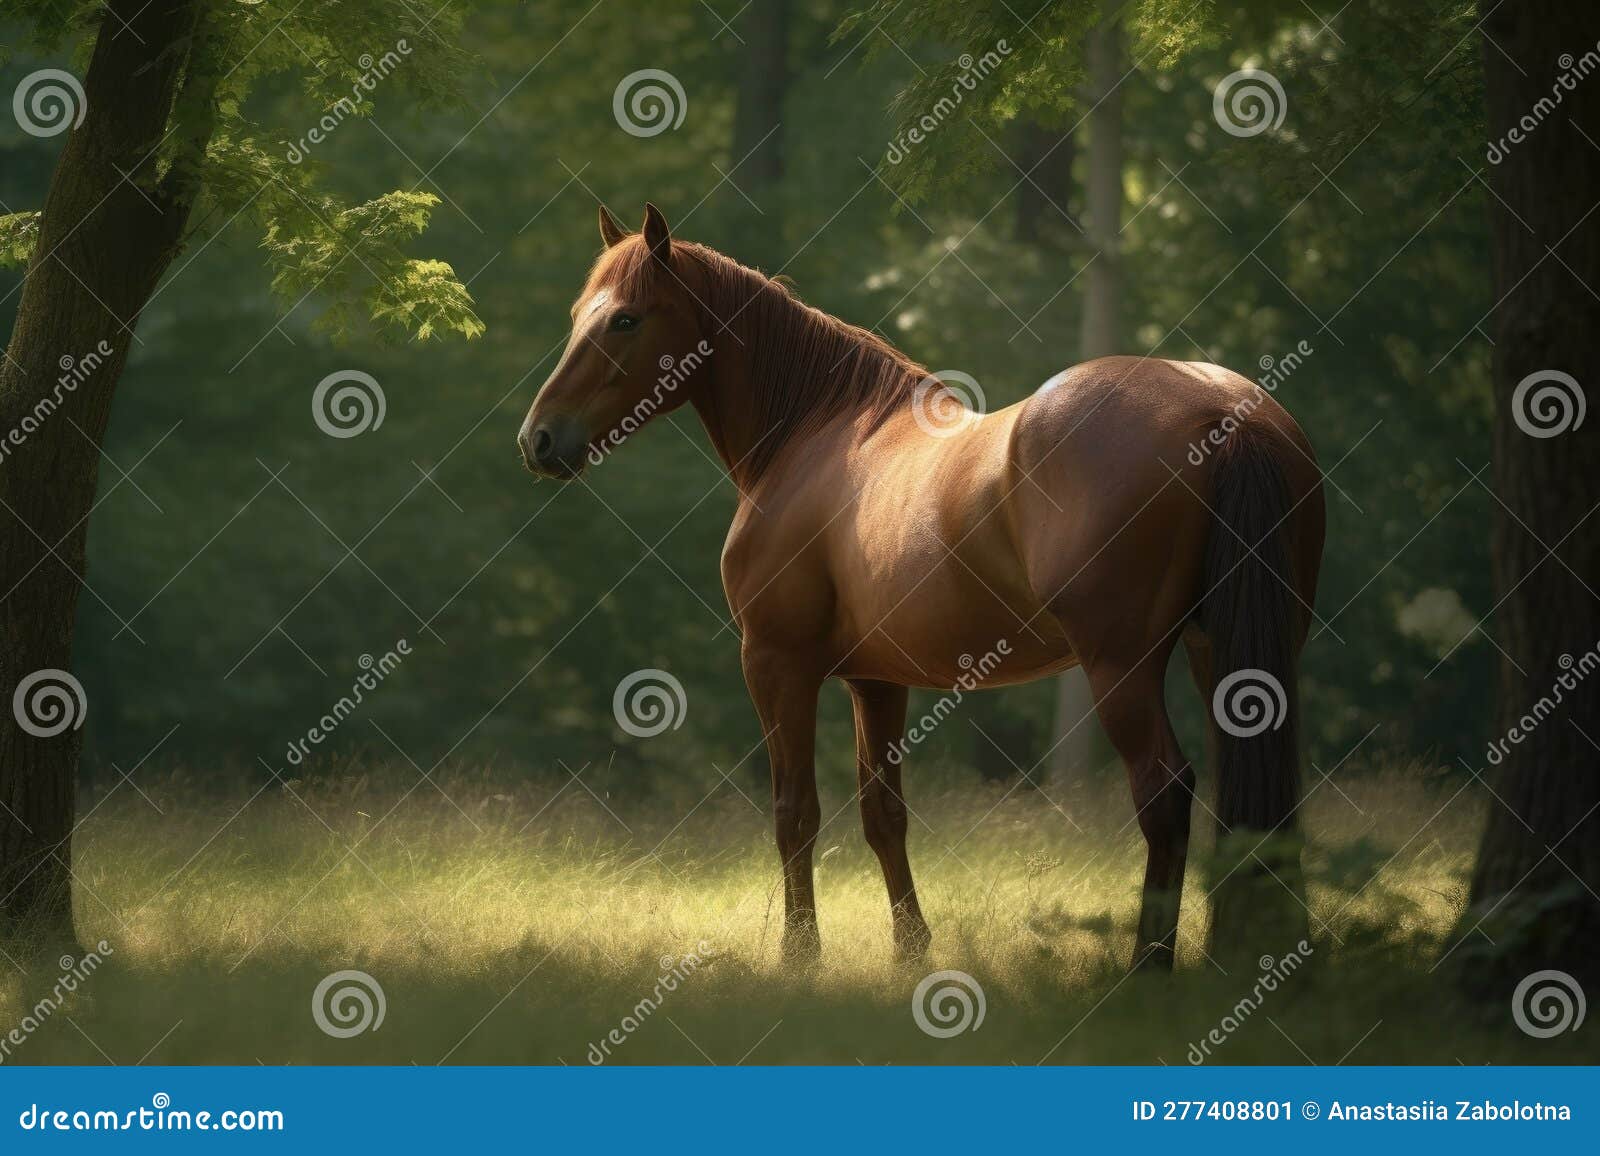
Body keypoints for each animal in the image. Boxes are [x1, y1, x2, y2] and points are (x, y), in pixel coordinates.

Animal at [518, 203, 1325, 970]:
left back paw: (1148, 964)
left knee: (1164, 793)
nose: (539, 440)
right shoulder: (877, 681)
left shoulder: (778, 664)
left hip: (1121, 667)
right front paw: (911, 948)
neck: (813, 433)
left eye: (626, 318)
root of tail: (1222, 411)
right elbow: (884, 815)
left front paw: (799, 954)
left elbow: (794, 812)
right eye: (577, 315)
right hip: (1232, 657)